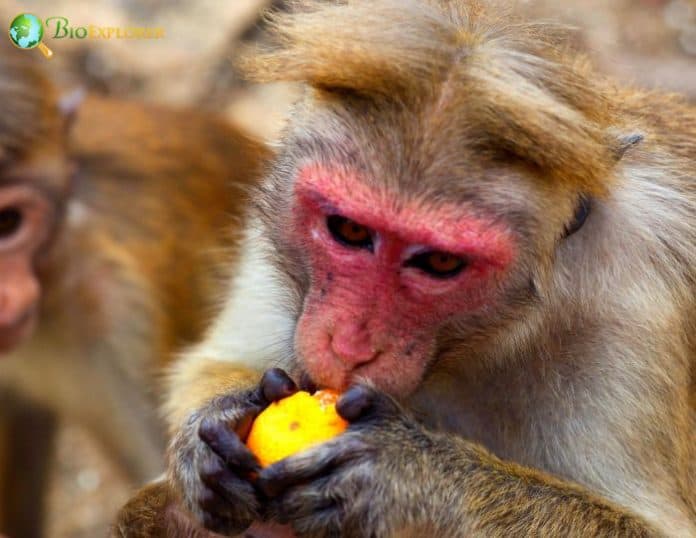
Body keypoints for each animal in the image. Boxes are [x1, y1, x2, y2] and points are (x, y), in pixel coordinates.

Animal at [114, 0, 696, 536]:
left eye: (439, 262)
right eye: (349, 231)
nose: (351, 347)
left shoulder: (635, 314)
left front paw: (400, 473)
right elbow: (211, 363)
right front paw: (214, 427)